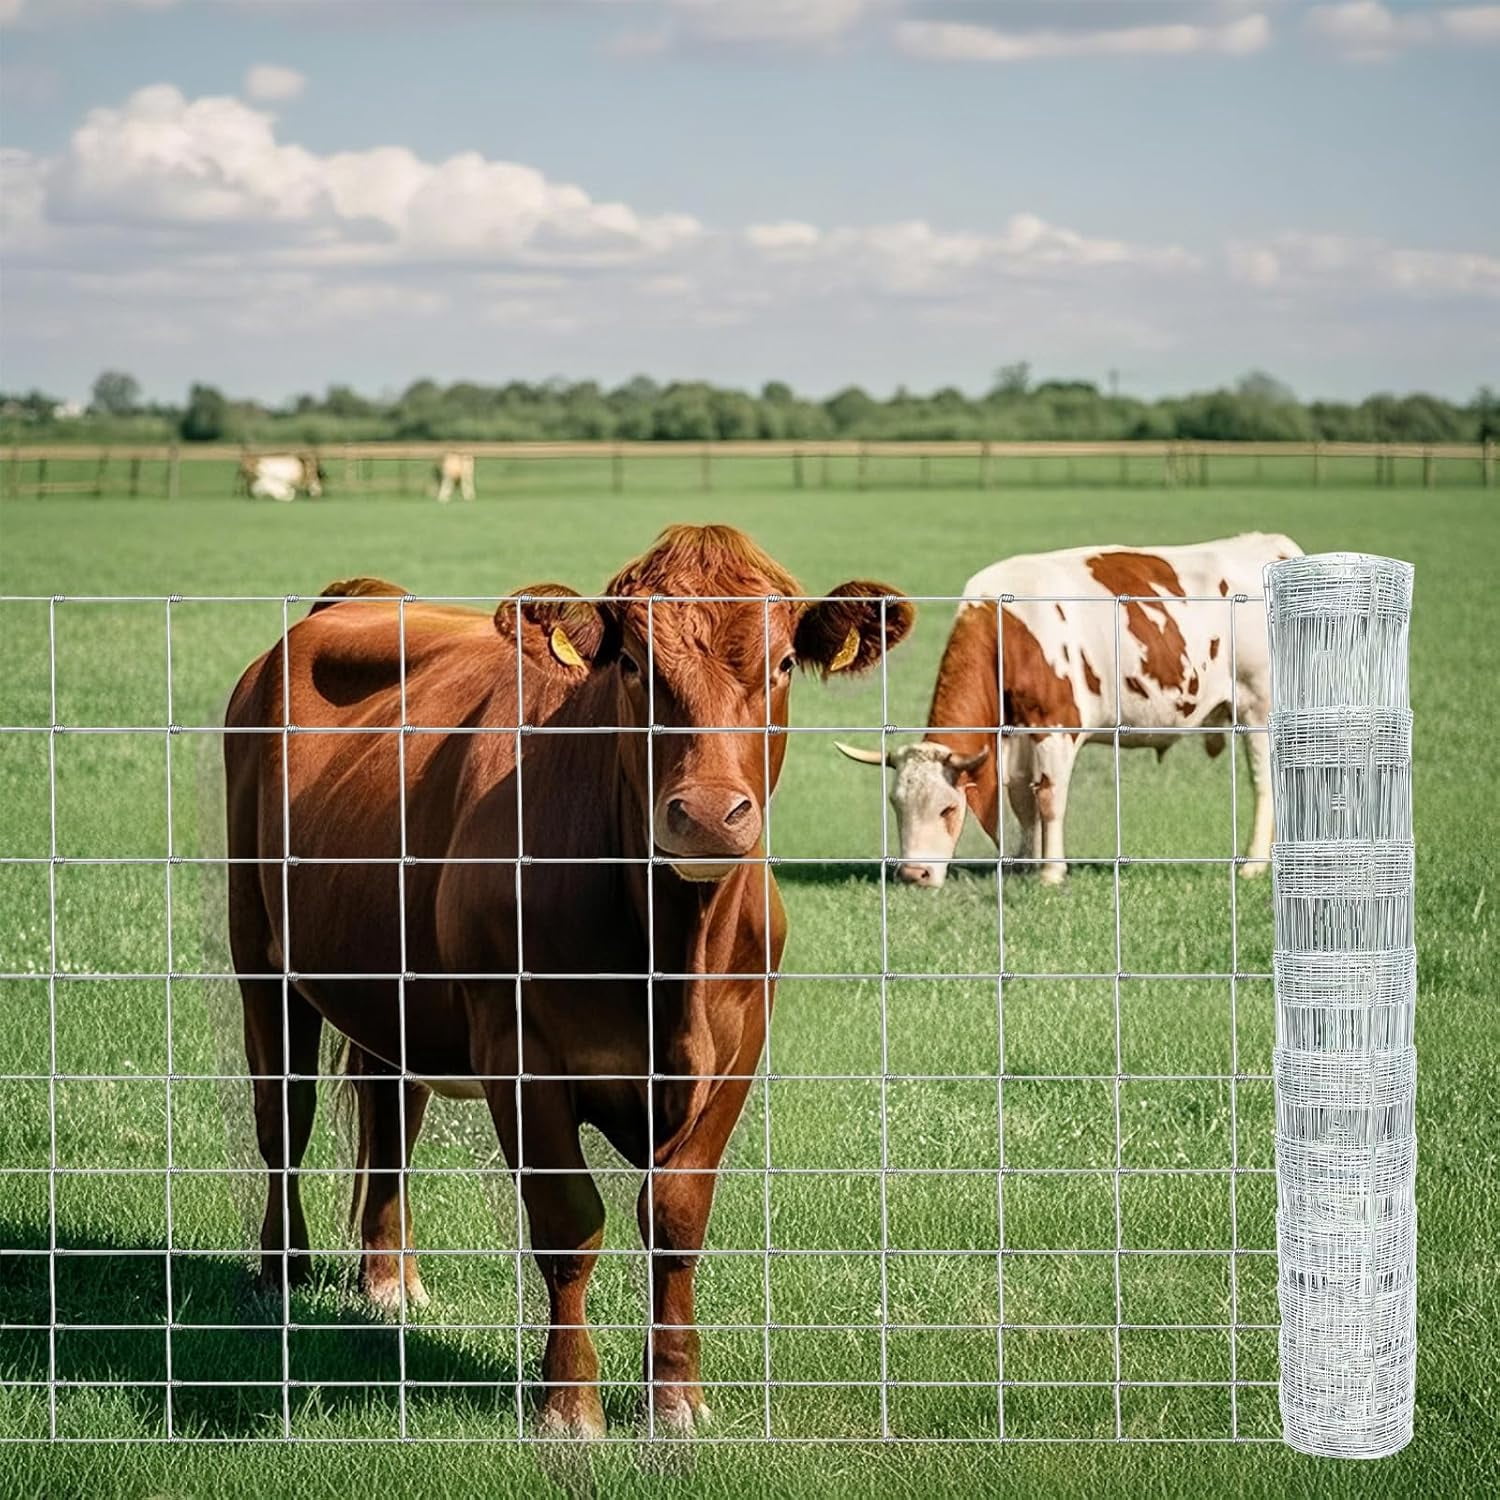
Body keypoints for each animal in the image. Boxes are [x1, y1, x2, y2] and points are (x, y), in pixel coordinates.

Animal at [222, 526, 913, 1436]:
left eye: (783, 664)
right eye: (634, 665)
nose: (706, 815)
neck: (671, 955)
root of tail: (365, 598)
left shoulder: (740, 1050)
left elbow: (677, 1217)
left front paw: (676, 1400)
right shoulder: (519, 1051)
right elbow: (569, 1223)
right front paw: (570, 1404)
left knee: (389, 1116)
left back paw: (389, 1279)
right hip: (259, 951)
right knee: (283, 1115)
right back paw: (281, 1271)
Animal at [835, 532, 1301, 887]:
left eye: (948, 809)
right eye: (896, 805)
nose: (914, 875)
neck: (1009, 633)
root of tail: (1272, 545)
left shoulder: (1055, 726)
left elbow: (1049, 799)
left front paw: (1051, 873)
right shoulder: (1014, 737)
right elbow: (1021, 800)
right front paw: (1024, 864)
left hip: (1258, 709)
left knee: (1265, 786)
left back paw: (1254, 865)